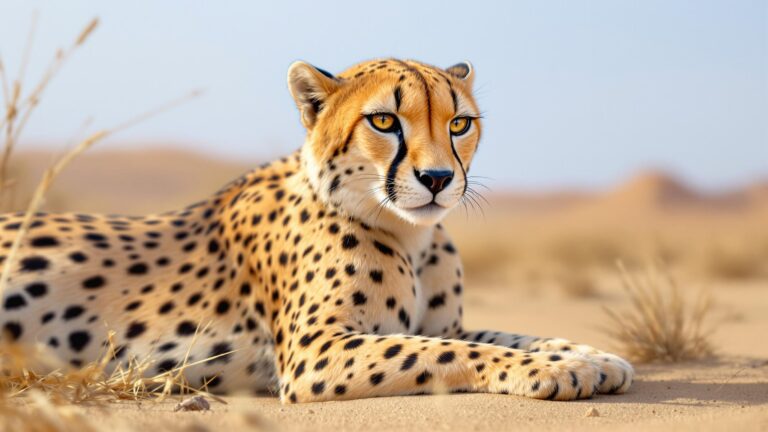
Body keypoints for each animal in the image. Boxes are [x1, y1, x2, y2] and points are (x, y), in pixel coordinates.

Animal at [0, 59, 633, 402]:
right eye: (384, 120)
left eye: (460, 124)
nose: (436, 179)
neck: (409, 236)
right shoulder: (313, 352)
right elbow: (449, 349)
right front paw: (558, 369)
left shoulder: (439, 321)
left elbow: (502, 334)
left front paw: (590, 355)